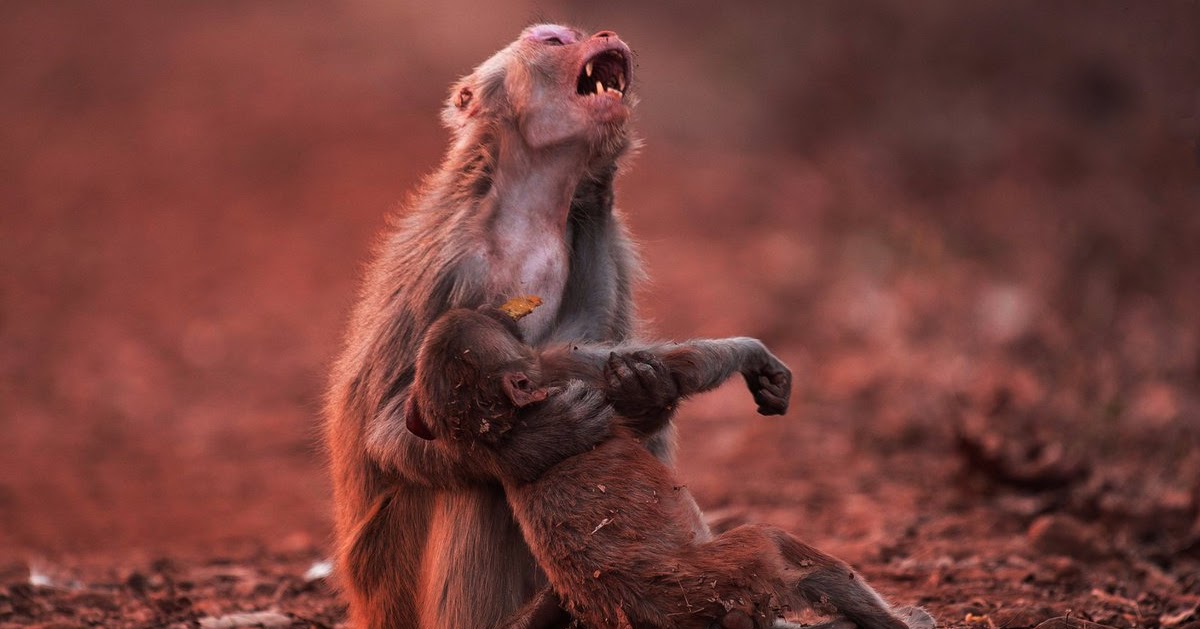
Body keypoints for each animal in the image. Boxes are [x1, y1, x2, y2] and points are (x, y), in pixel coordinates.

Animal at [324, 25, 712, 628]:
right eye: (554, 40)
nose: (603, 33)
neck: (528, 210)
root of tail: (368, 608)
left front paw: (645, 390)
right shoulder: (451, 268)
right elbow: (390, 430)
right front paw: (539, 442)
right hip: (393, 580)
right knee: (473, 484)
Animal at [405, 305, 936, 629]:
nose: (496, 309)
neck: (507, 424)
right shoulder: (560, 368)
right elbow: (684, 367)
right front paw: (754, 354)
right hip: (725, 577)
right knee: (773, 543)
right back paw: (897, 622)